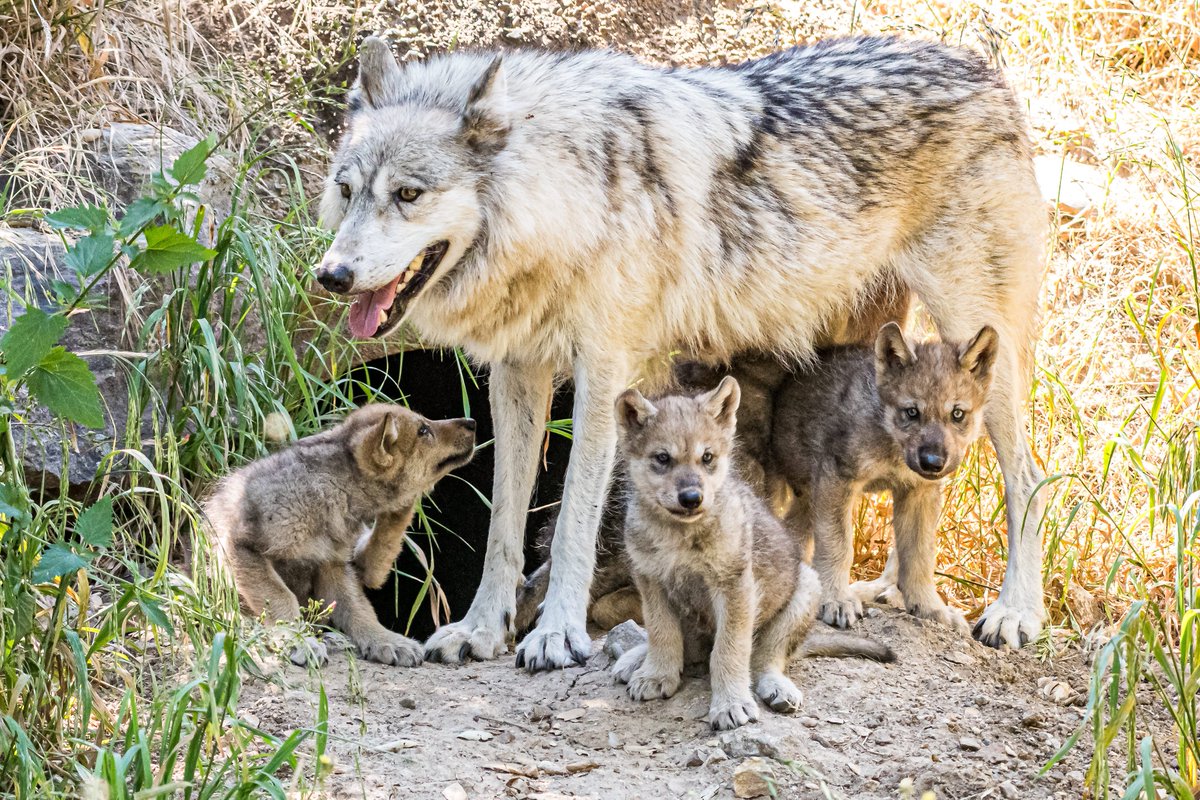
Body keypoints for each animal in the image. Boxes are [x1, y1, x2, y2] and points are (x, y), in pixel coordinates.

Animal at [204, 403, 476, 666]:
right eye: (423, 430)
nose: (472, 422)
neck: (330, 491)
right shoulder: (242, 545)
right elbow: (281, 598)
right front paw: (299, 641)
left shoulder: (333, 564)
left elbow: (359, 609)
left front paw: (386, 641)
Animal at [611, 377, 893, 730]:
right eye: (662, 458)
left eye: (707, 457)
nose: (691, 498)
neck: (680, 536)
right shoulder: (652, 583)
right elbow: (662, 633)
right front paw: (656, 674)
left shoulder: (735, 587)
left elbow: (729, 651)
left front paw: (730, 703)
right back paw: (634, 659)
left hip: (806, 589)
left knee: (765, 659)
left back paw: (777, 687)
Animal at [772, 323, 998, 632]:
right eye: (912, 412)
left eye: (957, 414)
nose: (933, 463)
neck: (892, 449)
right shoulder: (837, 479)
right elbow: (838, 546)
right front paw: (836, 599)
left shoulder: (918, 493)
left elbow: (919, 557)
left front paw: (930, 607)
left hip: (808, 498)